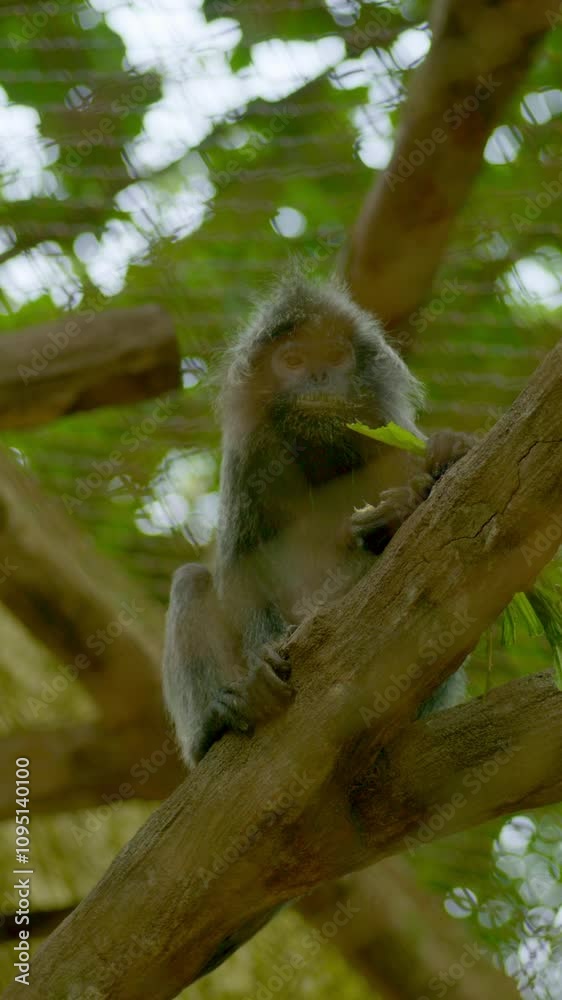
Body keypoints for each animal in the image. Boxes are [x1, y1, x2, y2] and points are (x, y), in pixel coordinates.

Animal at [163, 273, 475, 767]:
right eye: (293, 360)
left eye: (334, 357)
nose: (318, 377)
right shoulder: (250, 455)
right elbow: (240, 567)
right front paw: (262, 660)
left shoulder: (388, 434)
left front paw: (429, 478)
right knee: (192, 581)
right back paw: (217, 722)